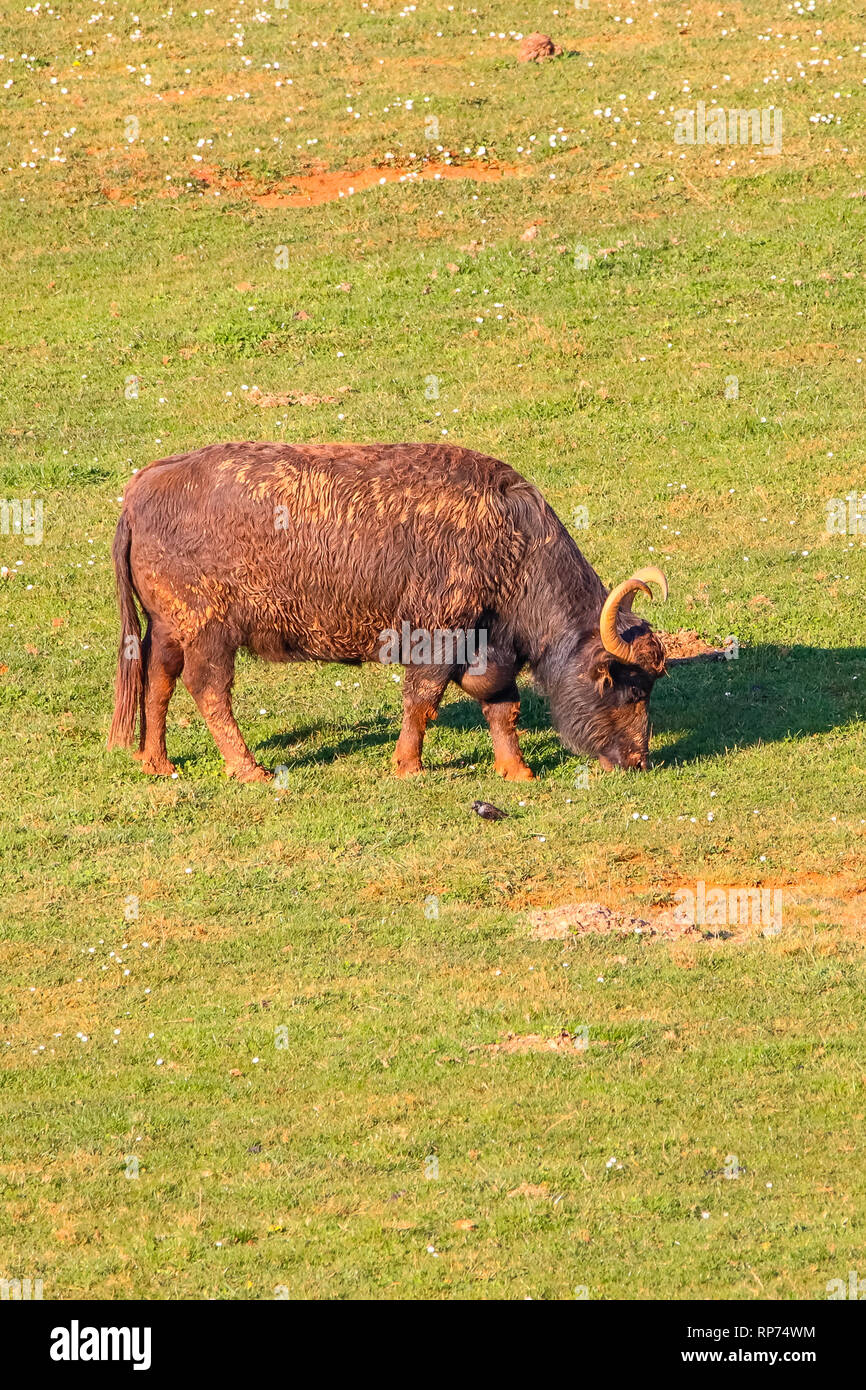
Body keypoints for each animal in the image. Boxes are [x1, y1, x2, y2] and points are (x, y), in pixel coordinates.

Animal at [108, 442, 669, 781]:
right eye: (629, 688)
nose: (639, 761)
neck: (508, 543)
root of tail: (137, 493)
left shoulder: (490, 649)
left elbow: (501, 706)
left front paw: (518, 771)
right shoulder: (437, 638)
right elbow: (421, 701)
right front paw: (409, 766)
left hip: (166, 629)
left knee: (158, 678)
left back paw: (156, 762)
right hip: (210, 633)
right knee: (208, 689)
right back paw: (251, 770)